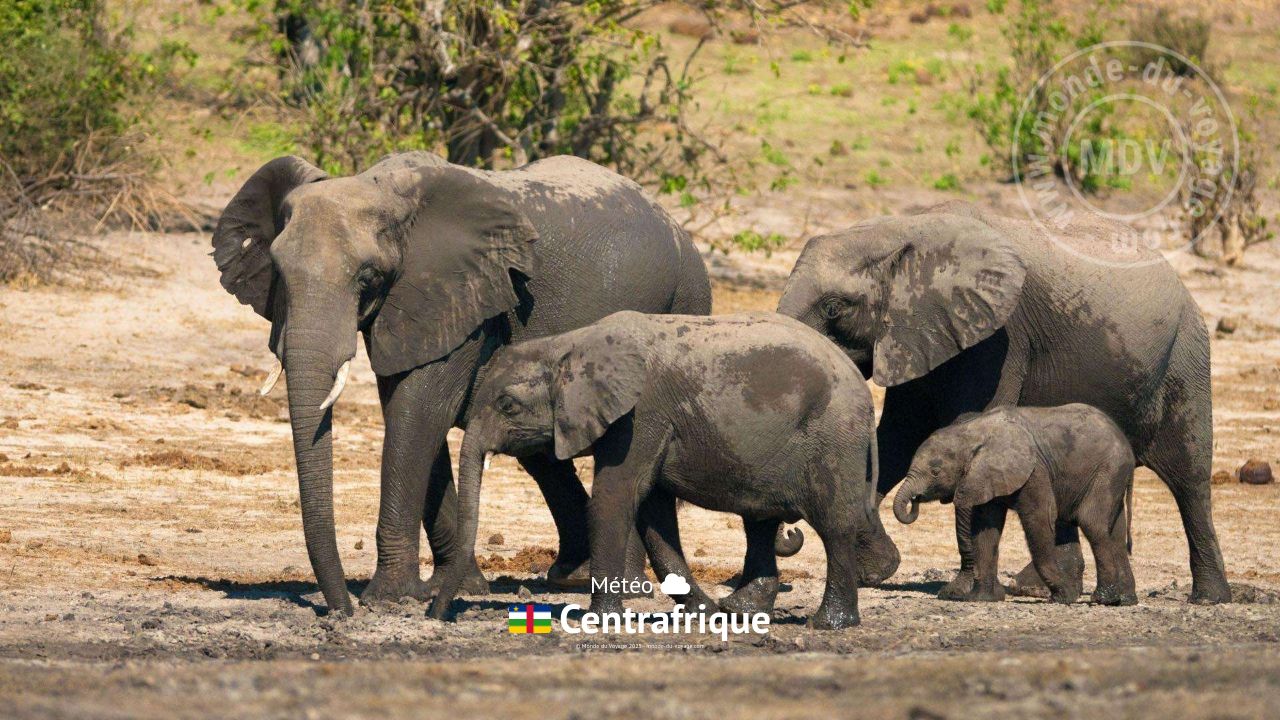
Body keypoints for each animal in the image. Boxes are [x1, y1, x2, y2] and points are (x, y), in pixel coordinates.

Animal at [209, 149, 711, 609]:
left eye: (367, 277)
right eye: (278, 273)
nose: (341, 610)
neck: (382, 189)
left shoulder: (463, 297)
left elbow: (417, 413)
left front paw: (387, 599)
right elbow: (408, 413)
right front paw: (459, 587)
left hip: (684, 297)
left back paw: (627, 588)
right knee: (543, 455)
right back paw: (571, 576)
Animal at [424, 311, 885, 625]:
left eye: (507, 405)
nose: (437, 613)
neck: (568, 345)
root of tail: (861, 387)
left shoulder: (639, 415)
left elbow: (614, 499)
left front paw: (602, 620)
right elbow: (654, 513)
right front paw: (703, 613)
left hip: (833, 436)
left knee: (833, 525)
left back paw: (829, 624)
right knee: (761, 521)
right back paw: (738, 611)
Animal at [890, 407, 1141, 602]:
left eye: (935, 471)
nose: (915, 500)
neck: (973, 433)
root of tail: (1128, 447)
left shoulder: (1035, 471)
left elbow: (1038, 520)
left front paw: (1063, 597)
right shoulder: (984, 475)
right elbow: (985, 529)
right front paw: (982, 599)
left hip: (1107, 470)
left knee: (1092, 523)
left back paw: (1103, 599)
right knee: (1116, 532)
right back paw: (1124, 600)